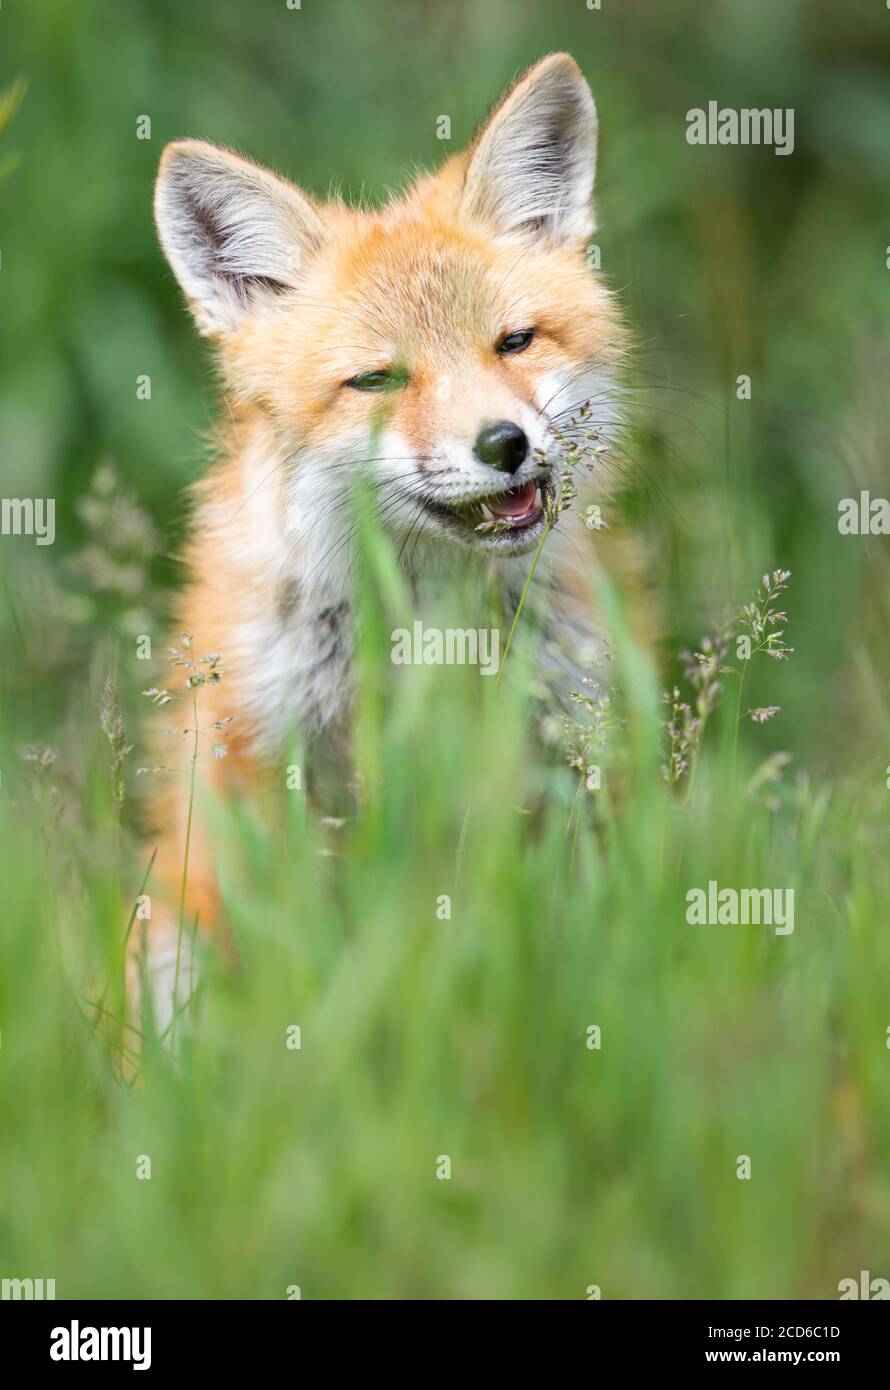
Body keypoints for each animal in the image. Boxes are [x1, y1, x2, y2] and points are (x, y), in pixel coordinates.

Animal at [144, 53, 646, 1024]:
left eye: (514, 343)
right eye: (379, 381)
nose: (504, 443)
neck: (431, 629)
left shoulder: (566, 753)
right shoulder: (271, 768)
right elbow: (297, 956)